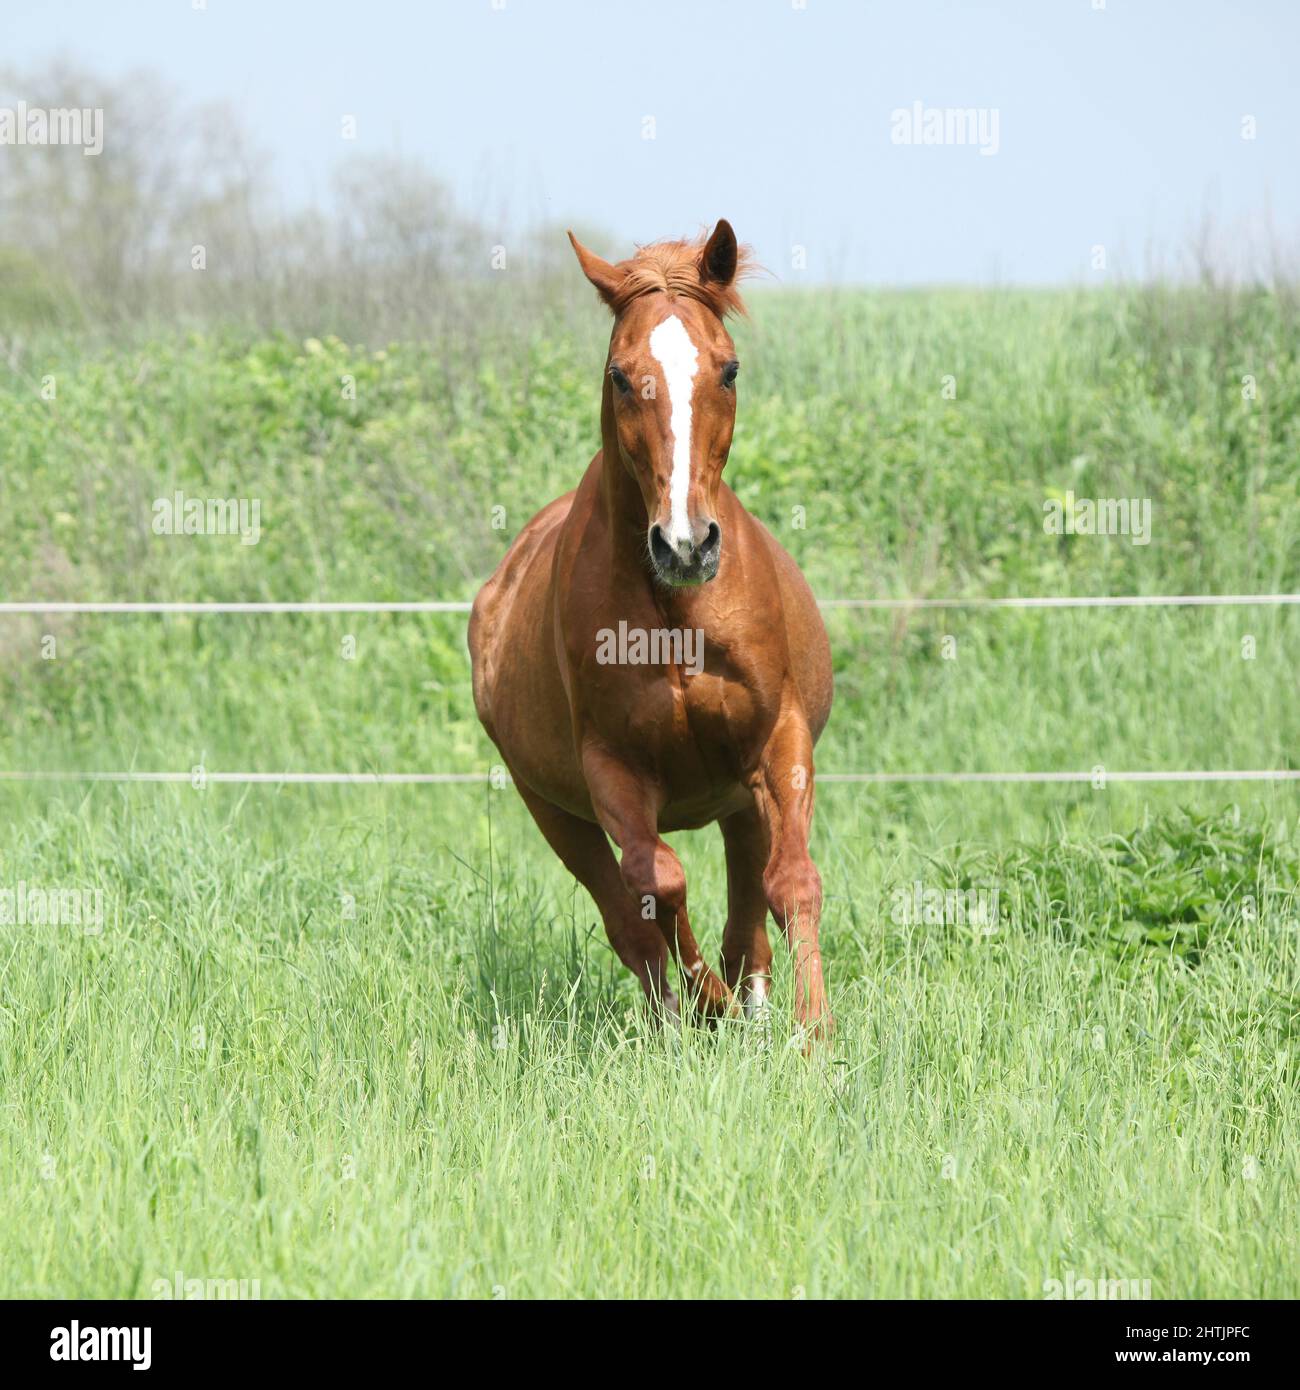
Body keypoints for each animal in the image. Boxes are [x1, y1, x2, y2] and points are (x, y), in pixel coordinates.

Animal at [469, 220, 833, 1035]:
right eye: (618, 374)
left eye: (727, 369)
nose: (685, 544)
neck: (675, 617)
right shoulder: (612, 769)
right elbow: (658, 883)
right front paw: (709, 1003)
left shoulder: (778, 741)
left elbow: (792, 881)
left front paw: (812, 1032)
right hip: (555, 812)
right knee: (628, 918)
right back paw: (685, 1015)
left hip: (739, 797)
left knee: (746, 903)